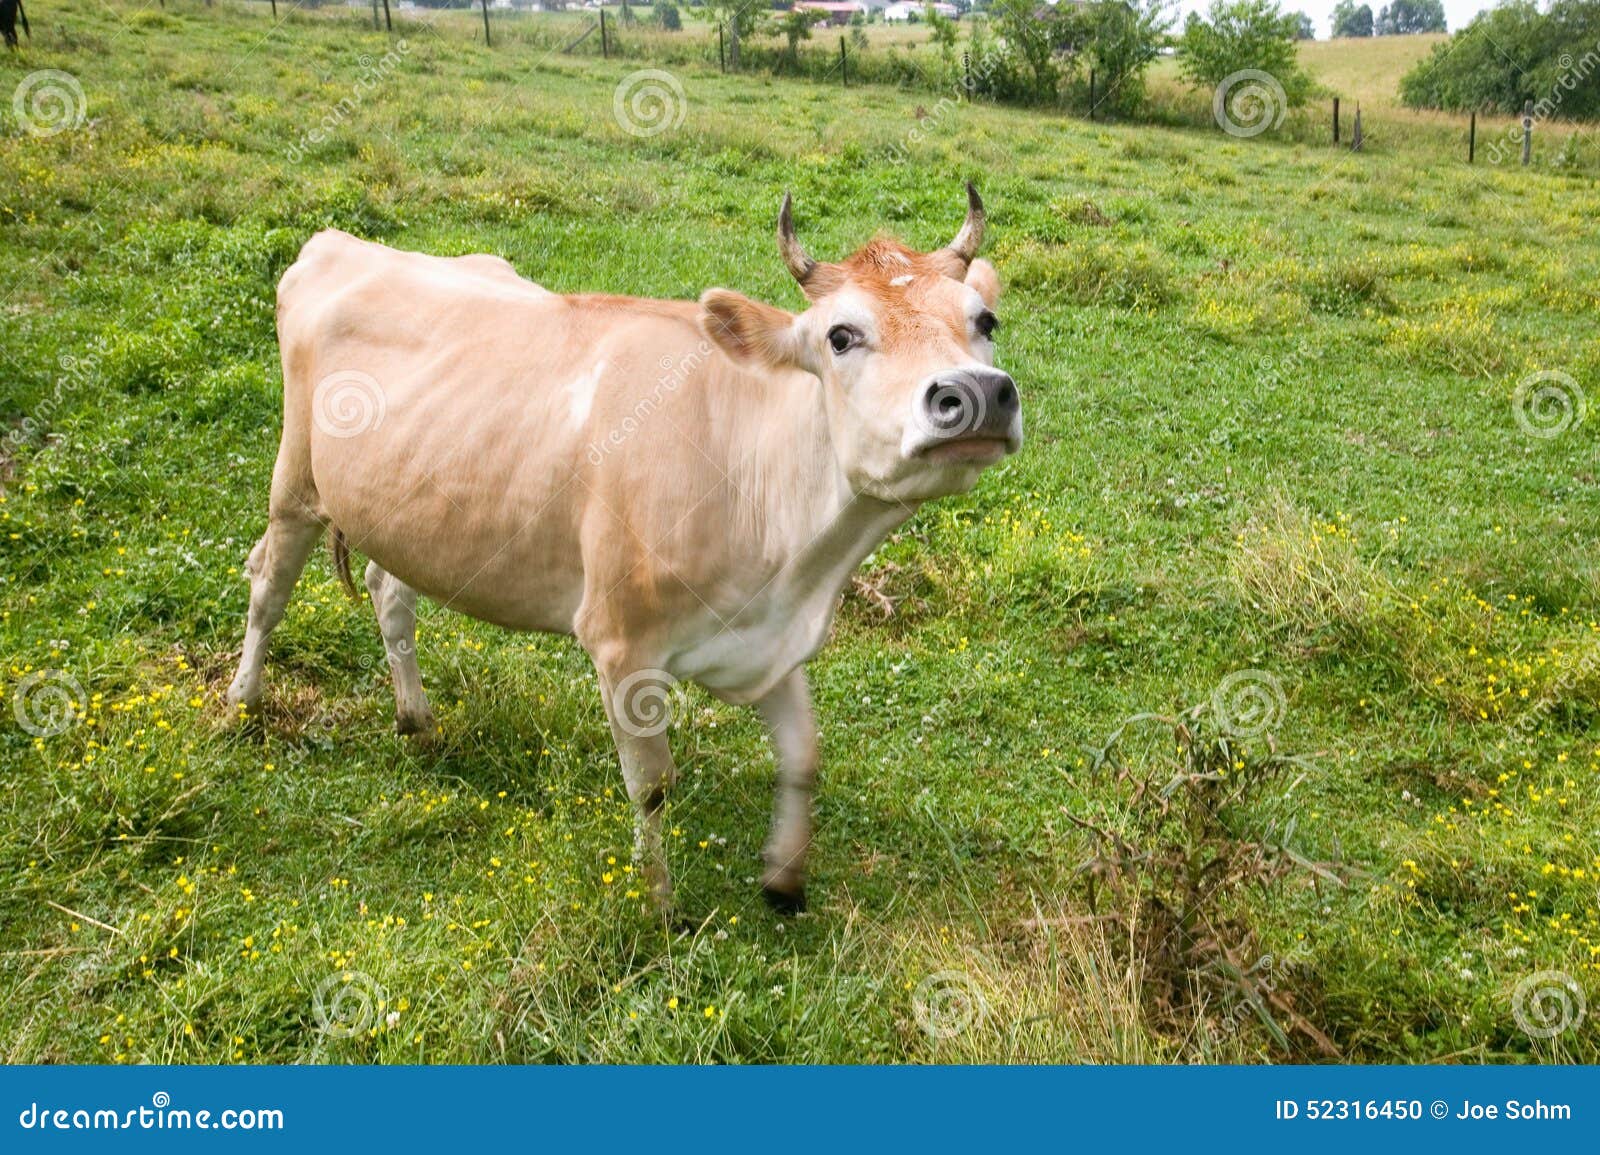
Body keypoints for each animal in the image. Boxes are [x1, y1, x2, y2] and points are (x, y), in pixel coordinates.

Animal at [226, 186, 1022, 913]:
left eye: (984, 321)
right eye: (841, 336)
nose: (976, 393)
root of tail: (341, 242)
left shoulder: (765, 642)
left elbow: (804, 756)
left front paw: (785, 879)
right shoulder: (621, 644)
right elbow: (652, 787)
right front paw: (658, 904)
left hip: (406, 507)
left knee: (390, 592)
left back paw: (415, 719)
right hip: (296, 479)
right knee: (268, 584)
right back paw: (241, 703)